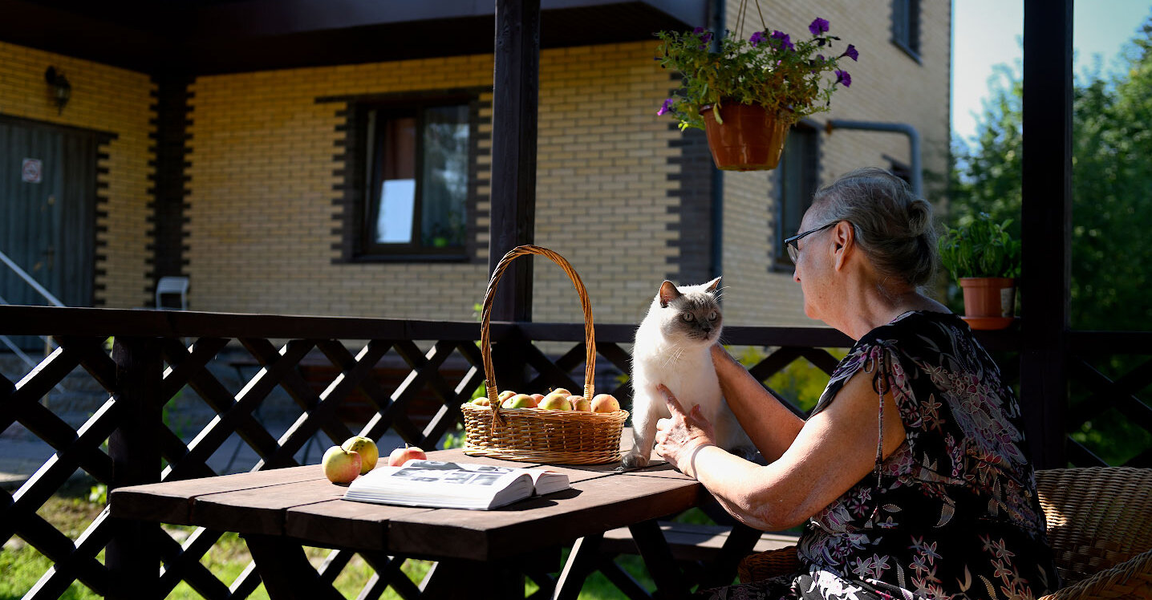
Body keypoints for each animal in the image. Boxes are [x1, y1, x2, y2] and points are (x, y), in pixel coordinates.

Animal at [622, 276, 755, 467]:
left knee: (744, 444)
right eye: (688, 317)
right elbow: (642, 435)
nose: (707, 329)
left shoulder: (701, 403)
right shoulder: (647, 399)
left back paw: (742, 452)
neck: (678, 354)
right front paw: (636, 459)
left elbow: (702, 433)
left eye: (712, 316)